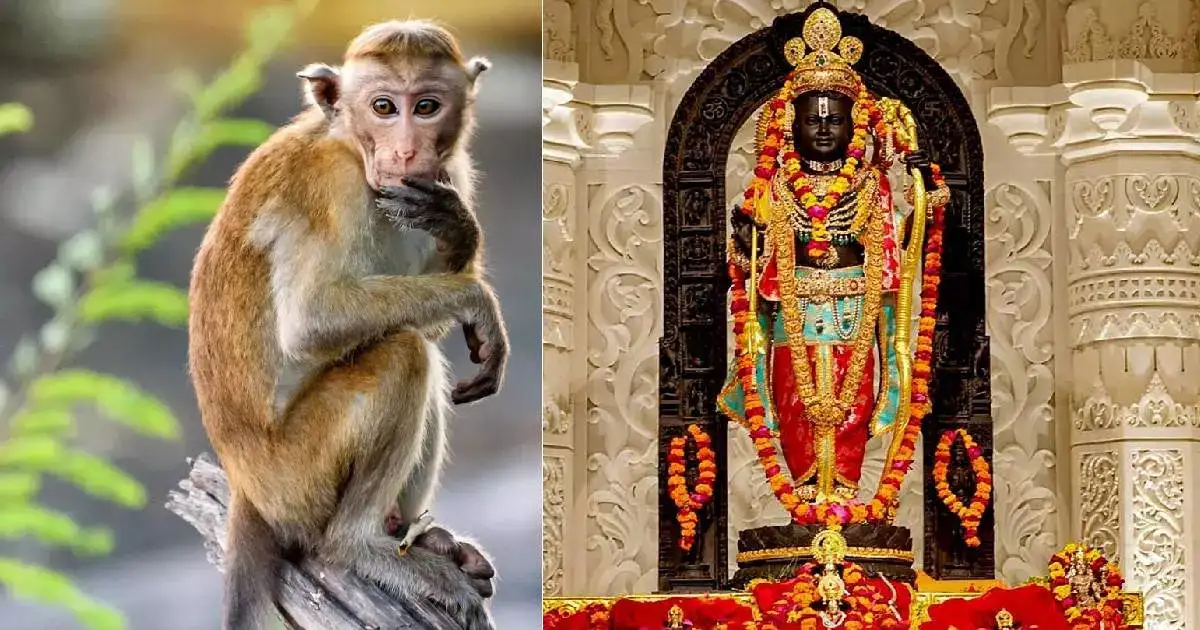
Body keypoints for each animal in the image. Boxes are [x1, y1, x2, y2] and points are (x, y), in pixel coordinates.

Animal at [186, 19, 508, 630]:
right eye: (383, 107)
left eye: (426, 106)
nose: (406, 149)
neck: (352, 147)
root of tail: (246, 489)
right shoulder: (330, 187)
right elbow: (312, 321)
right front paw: (479, 300)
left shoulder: (445, 176)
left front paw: (460, 230)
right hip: (297, 478)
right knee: (403, 354)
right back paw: (359, 546)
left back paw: (419, 536)